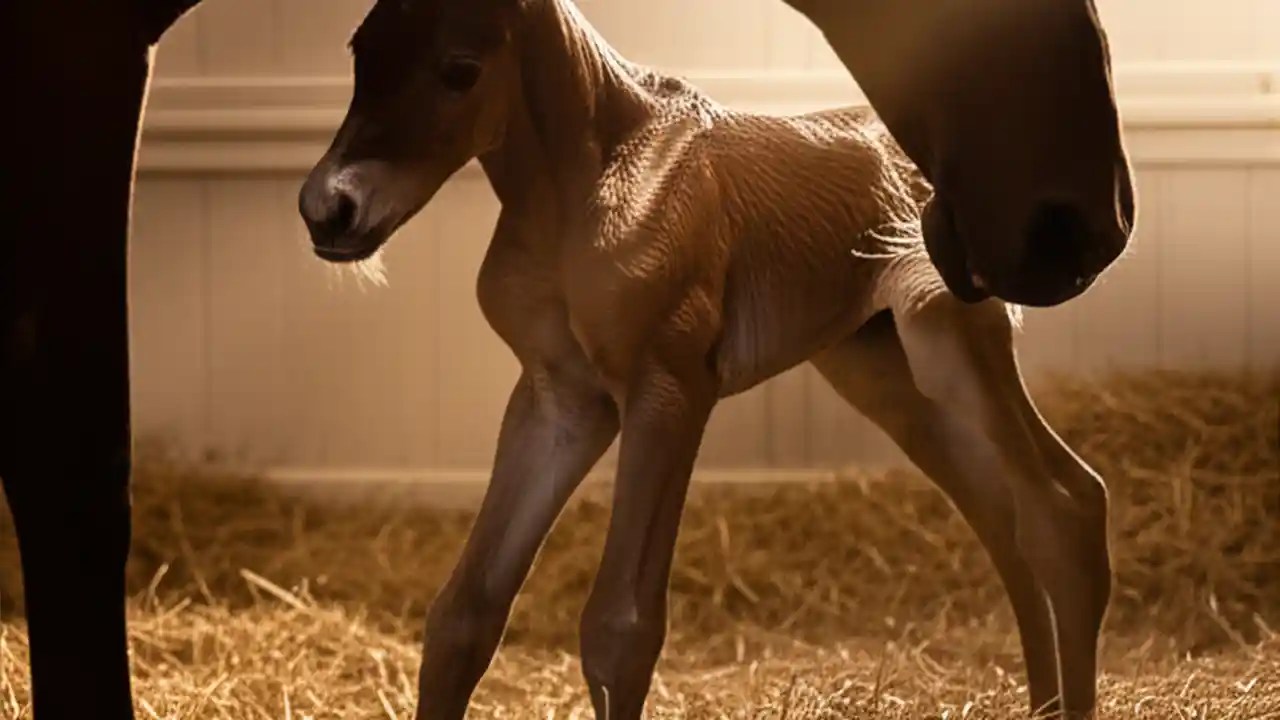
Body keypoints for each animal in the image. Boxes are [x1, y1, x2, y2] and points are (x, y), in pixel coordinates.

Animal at [3, 0, 1130, 717]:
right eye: (361, 48)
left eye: (459, 68)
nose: (330, 210)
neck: (579, 187)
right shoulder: (558, 399)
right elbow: (463, 613)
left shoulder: (670, 391)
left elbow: (620, 626)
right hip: (880, 371)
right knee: (1000, 516)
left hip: (958, 348)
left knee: (1063, 504)